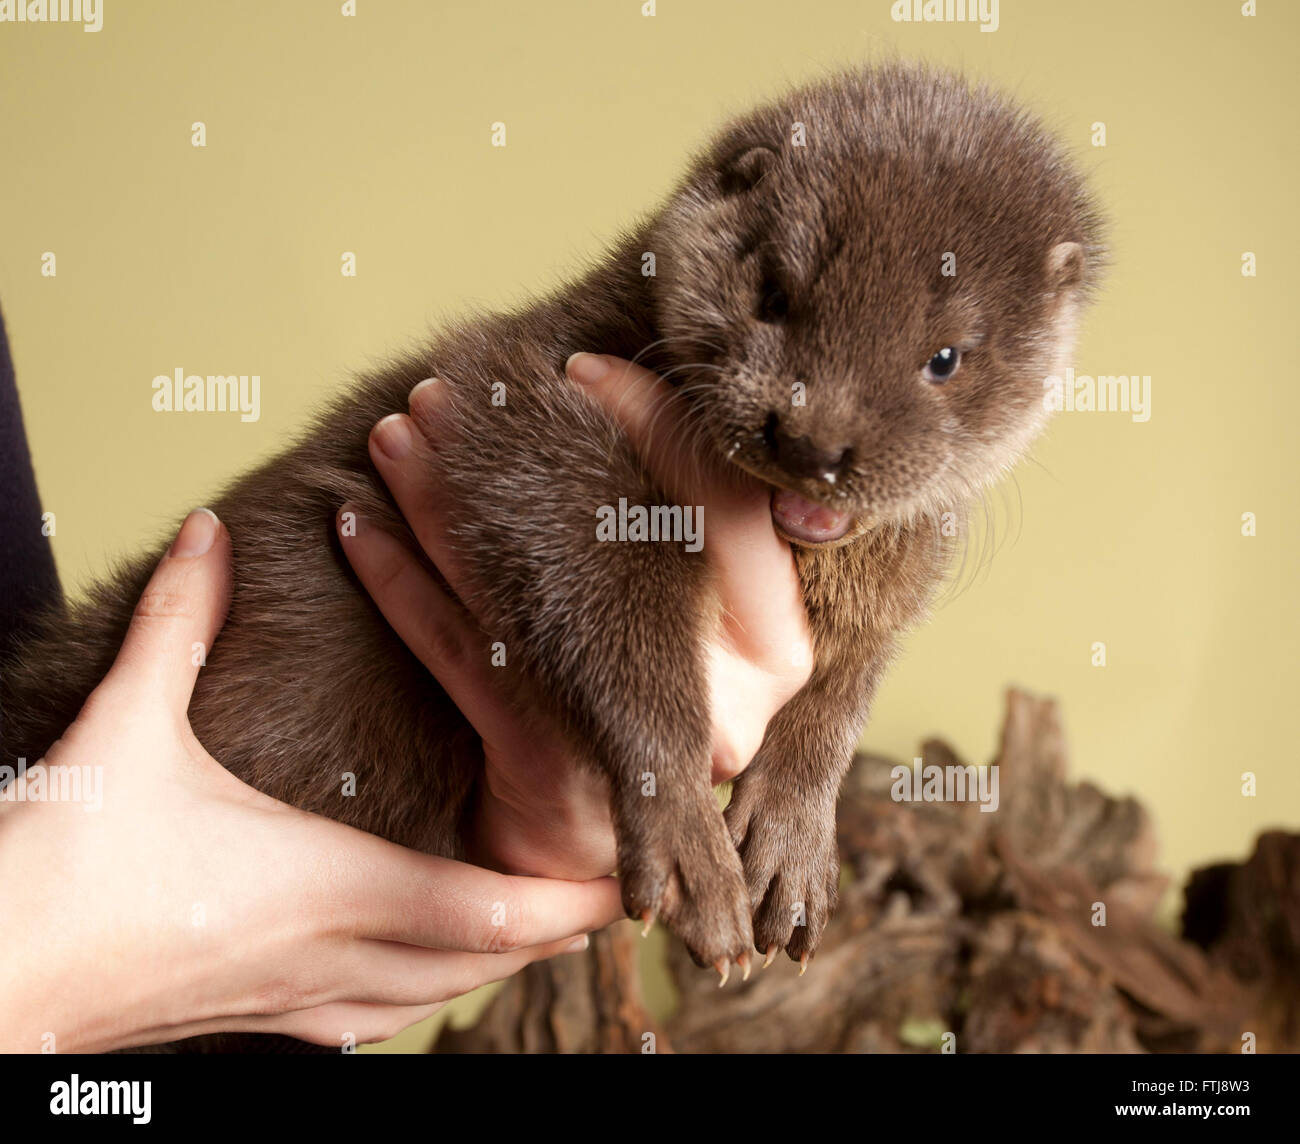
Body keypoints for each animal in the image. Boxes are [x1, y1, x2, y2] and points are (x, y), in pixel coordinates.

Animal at [1, 64, 1104, 1020]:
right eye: (776, 293)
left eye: (945, 357)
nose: (813, 440)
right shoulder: (517, 407)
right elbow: (602, 593)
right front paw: (687, 836)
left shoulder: (897, 587)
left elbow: (839, 701)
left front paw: (794, 844)